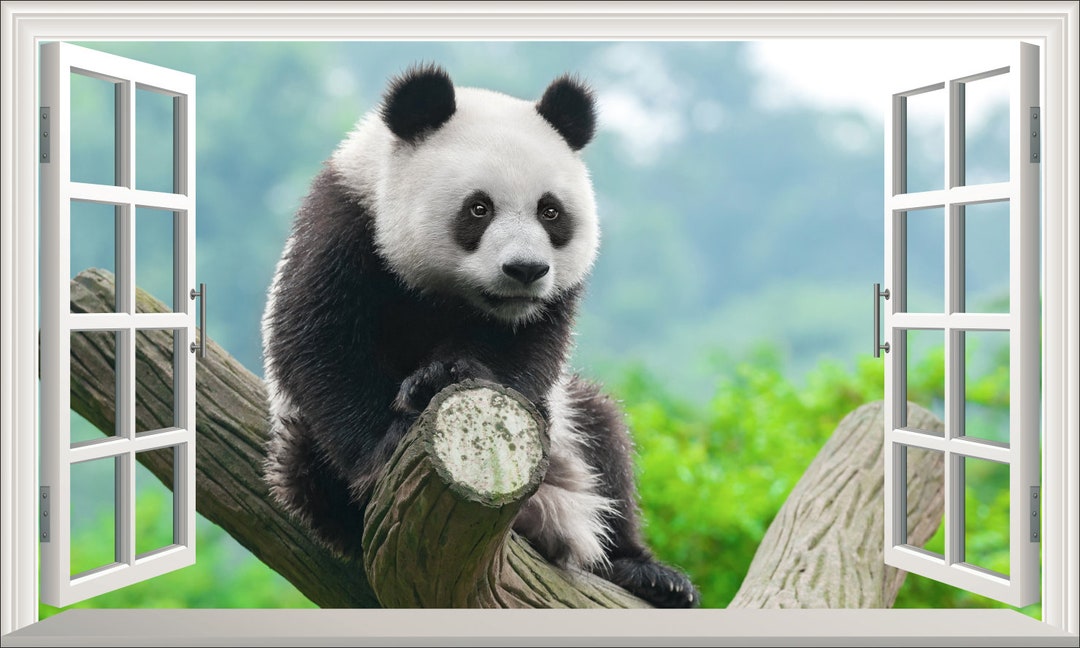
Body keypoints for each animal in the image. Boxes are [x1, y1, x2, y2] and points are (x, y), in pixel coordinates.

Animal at [261, 64, 699, 609]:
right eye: (478, 209)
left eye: (550, 212)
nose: (525, 269)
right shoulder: (345, 225)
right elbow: (321, 344)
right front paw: (389, 442)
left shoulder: (544, 307)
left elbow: (524, 350)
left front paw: (444, 375)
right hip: (298, 444)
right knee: (305, 467)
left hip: (569, 431)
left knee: (605, 440)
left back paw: (649, 574)